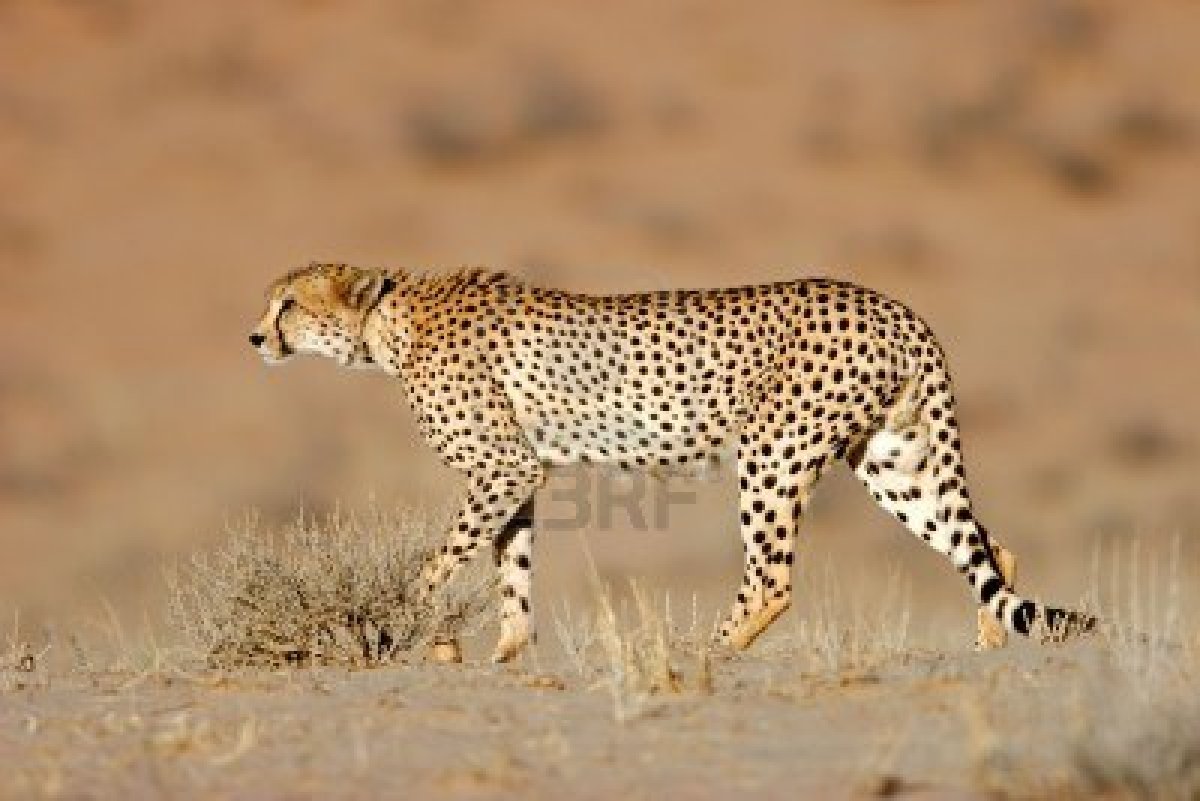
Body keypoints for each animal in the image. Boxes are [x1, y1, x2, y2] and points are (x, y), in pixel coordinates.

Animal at [249, 262, 1093, 663]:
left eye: (288, 303)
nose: (255, 336)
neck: (388, 323)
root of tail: (897, 308)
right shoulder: (521, 474)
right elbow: (511, 567)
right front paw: (506, 651)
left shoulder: (501, 467)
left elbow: (436, 564)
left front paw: (424, 633)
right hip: (893, 457)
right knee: (990, 548)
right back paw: (987, 647)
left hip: (772, 450)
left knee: (774, 578)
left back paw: (702, 652)